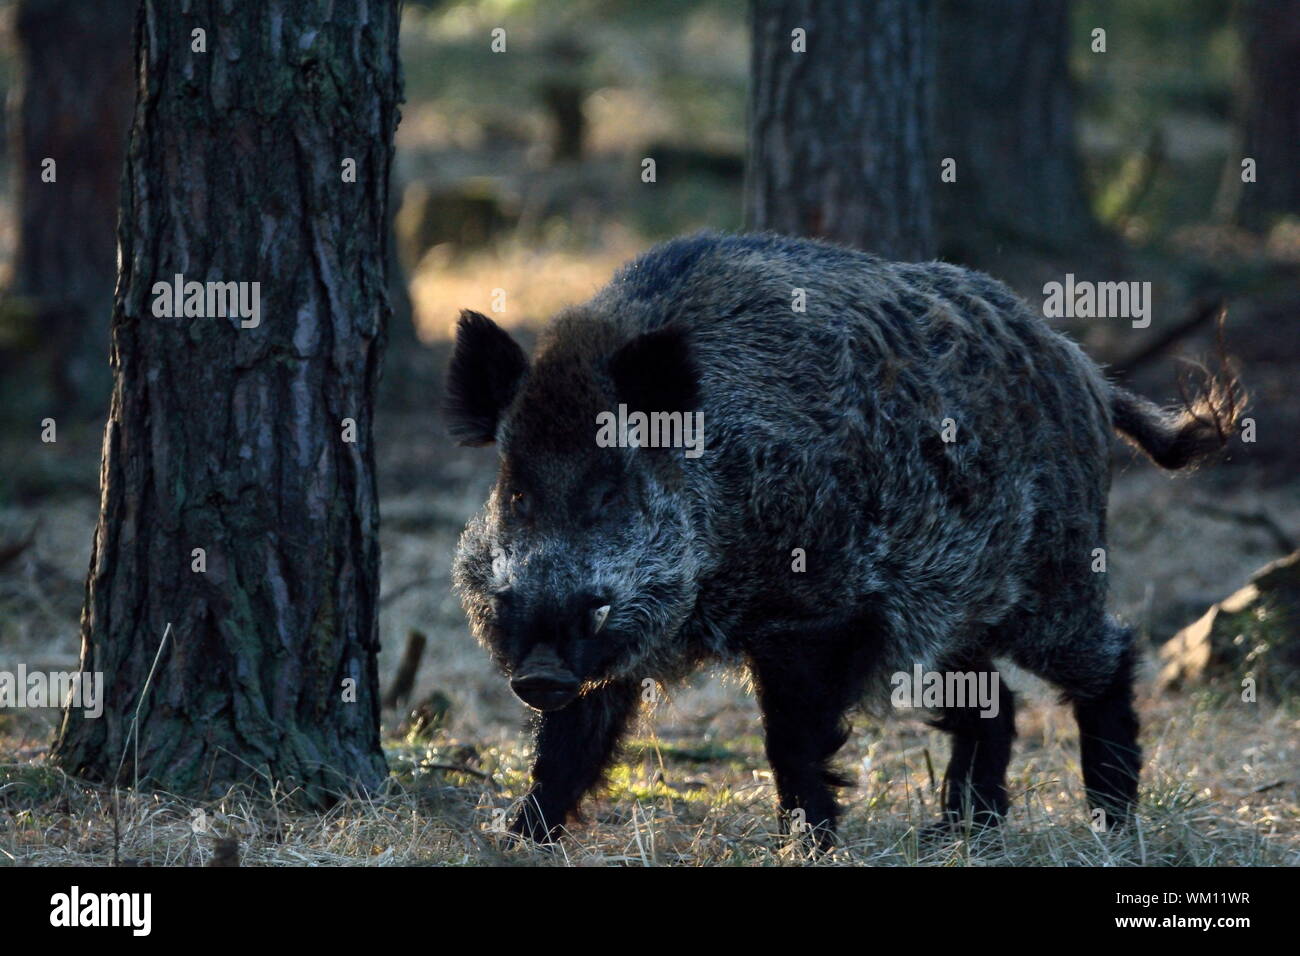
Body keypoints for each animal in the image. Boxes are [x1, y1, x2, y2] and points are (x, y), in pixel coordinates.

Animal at [445, 232, 1242, 849]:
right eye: (516, 491)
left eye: (610, 493)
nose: (536, 671)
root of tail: (1086, 373)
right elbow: (568, 745)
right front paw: (516, 837)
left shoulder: (813, 613)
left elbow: (792, 740)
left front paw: (812, 845)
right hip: (947, 614)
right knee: (992, 703)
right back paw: (954, 835)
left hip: (1056, 578)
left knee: (1110, 659)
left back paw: (1112, 824)